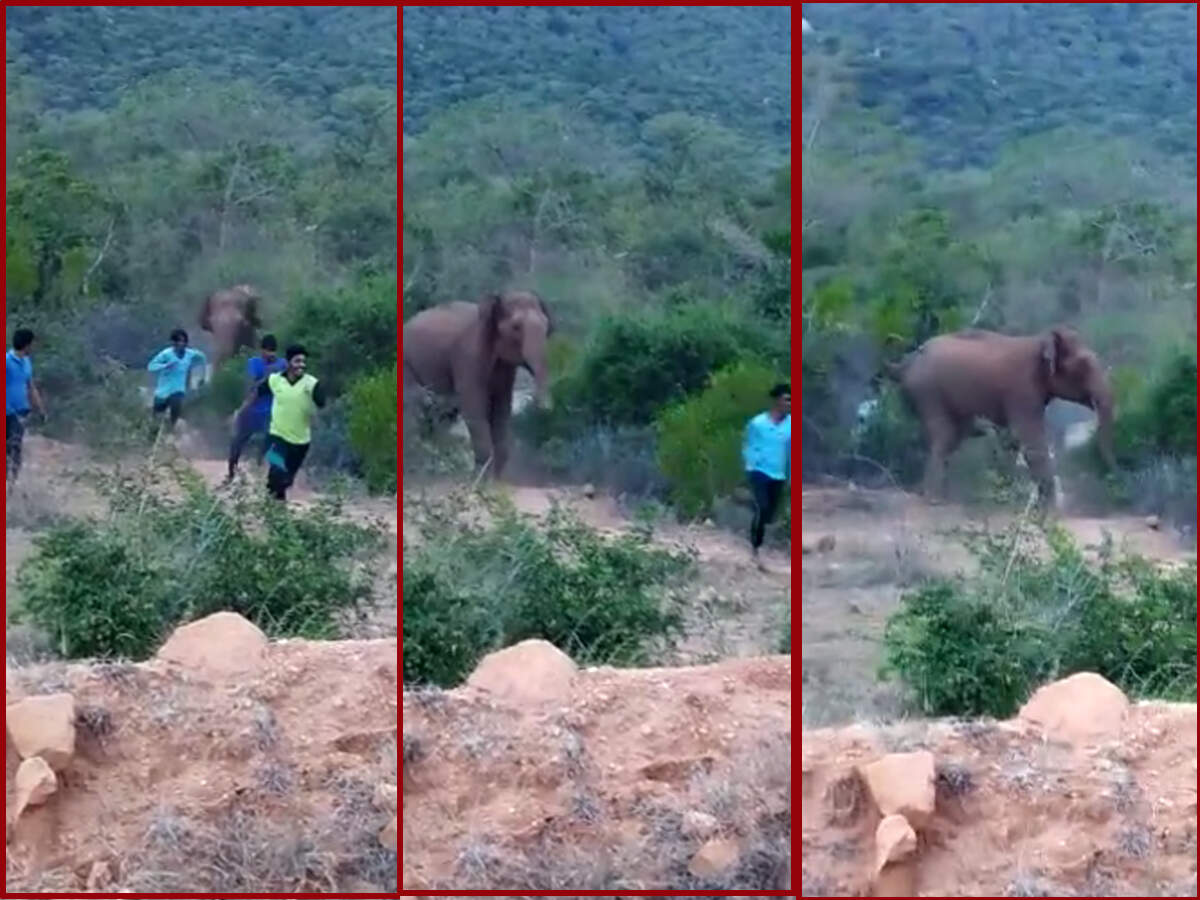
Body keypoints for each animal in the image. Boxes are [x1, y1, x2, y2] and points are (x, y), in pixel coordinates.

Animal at [402, 290, 552, 479]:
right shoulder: (468, 358)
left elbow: (502, 409)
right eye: (516, 327)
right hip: (406, 363)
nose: (546, 408)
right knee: (416, 404)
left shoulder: (505, 370)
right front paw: (482, 478)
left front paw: (497, 479)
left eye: (547, 326)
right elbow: (474, 409)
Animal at [885, 326, 1115, 508]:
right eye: (1084, 363)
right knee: (945, 436)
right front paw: (1052, 510)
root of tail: (904, 364)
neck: (1040, 340)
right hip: (928, 392)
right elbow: (1030, 439)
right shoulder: (1022, 389)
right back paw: (935, 500)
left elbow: (1012, 440)